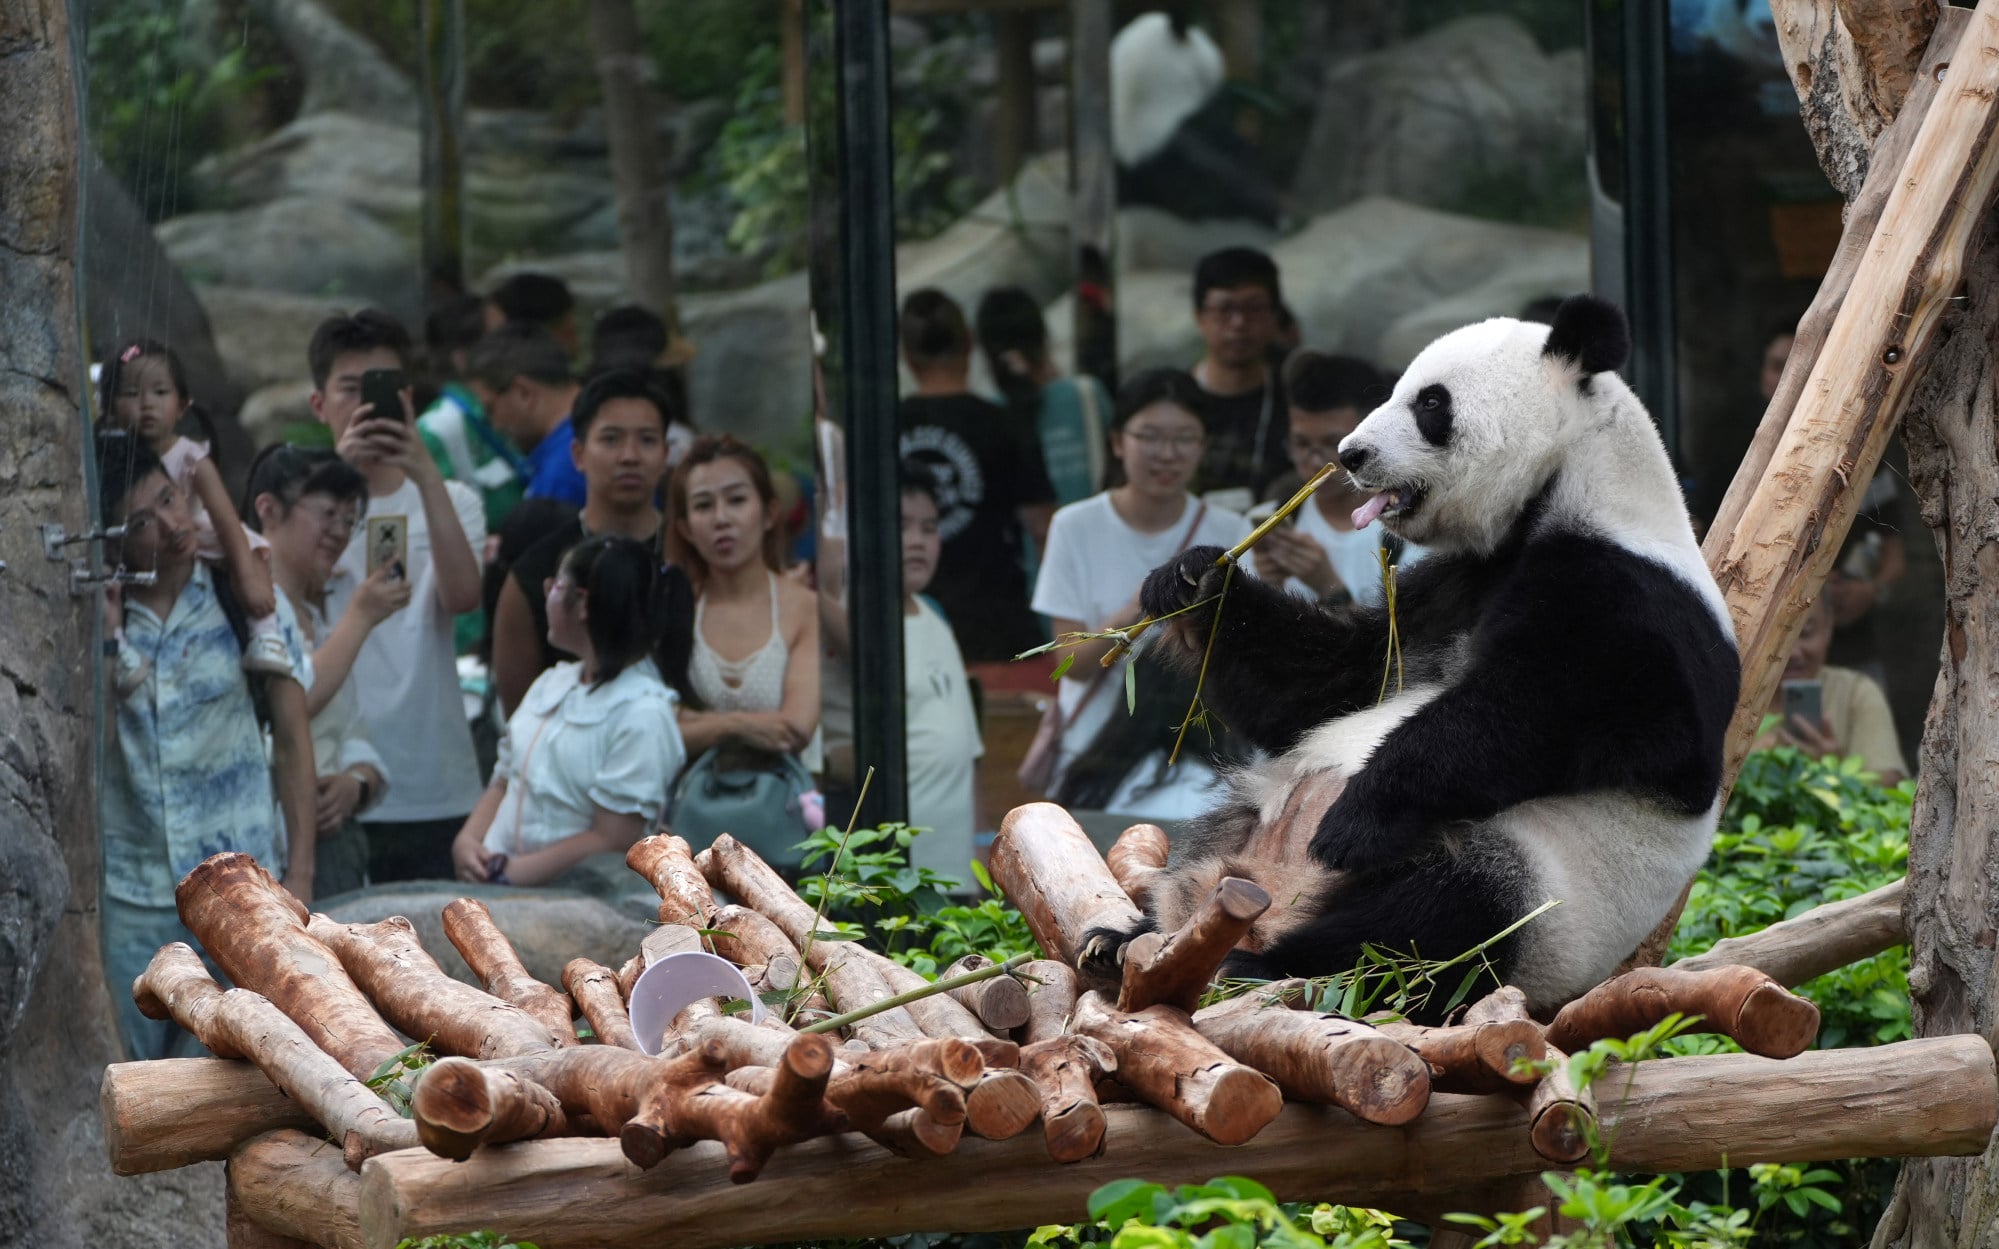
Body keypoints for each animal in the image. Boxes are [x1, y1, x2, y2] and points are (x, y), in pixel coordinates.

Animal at [1082, 295, 1741, 1020]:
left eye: (1430, 402)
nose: (1350, 453)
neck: (1569, 486)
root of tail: (1269, 894)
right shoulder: (1452, 586)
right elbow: (1329, 682)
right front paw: (1193, 582)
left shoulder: (1632, 602)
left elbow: (1531, 714)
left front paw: (1354, 818)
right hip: (1246, 819)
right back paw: (1123, 939)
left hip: (1536, 891)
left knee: (1431, 920)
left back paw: (1261, 962)